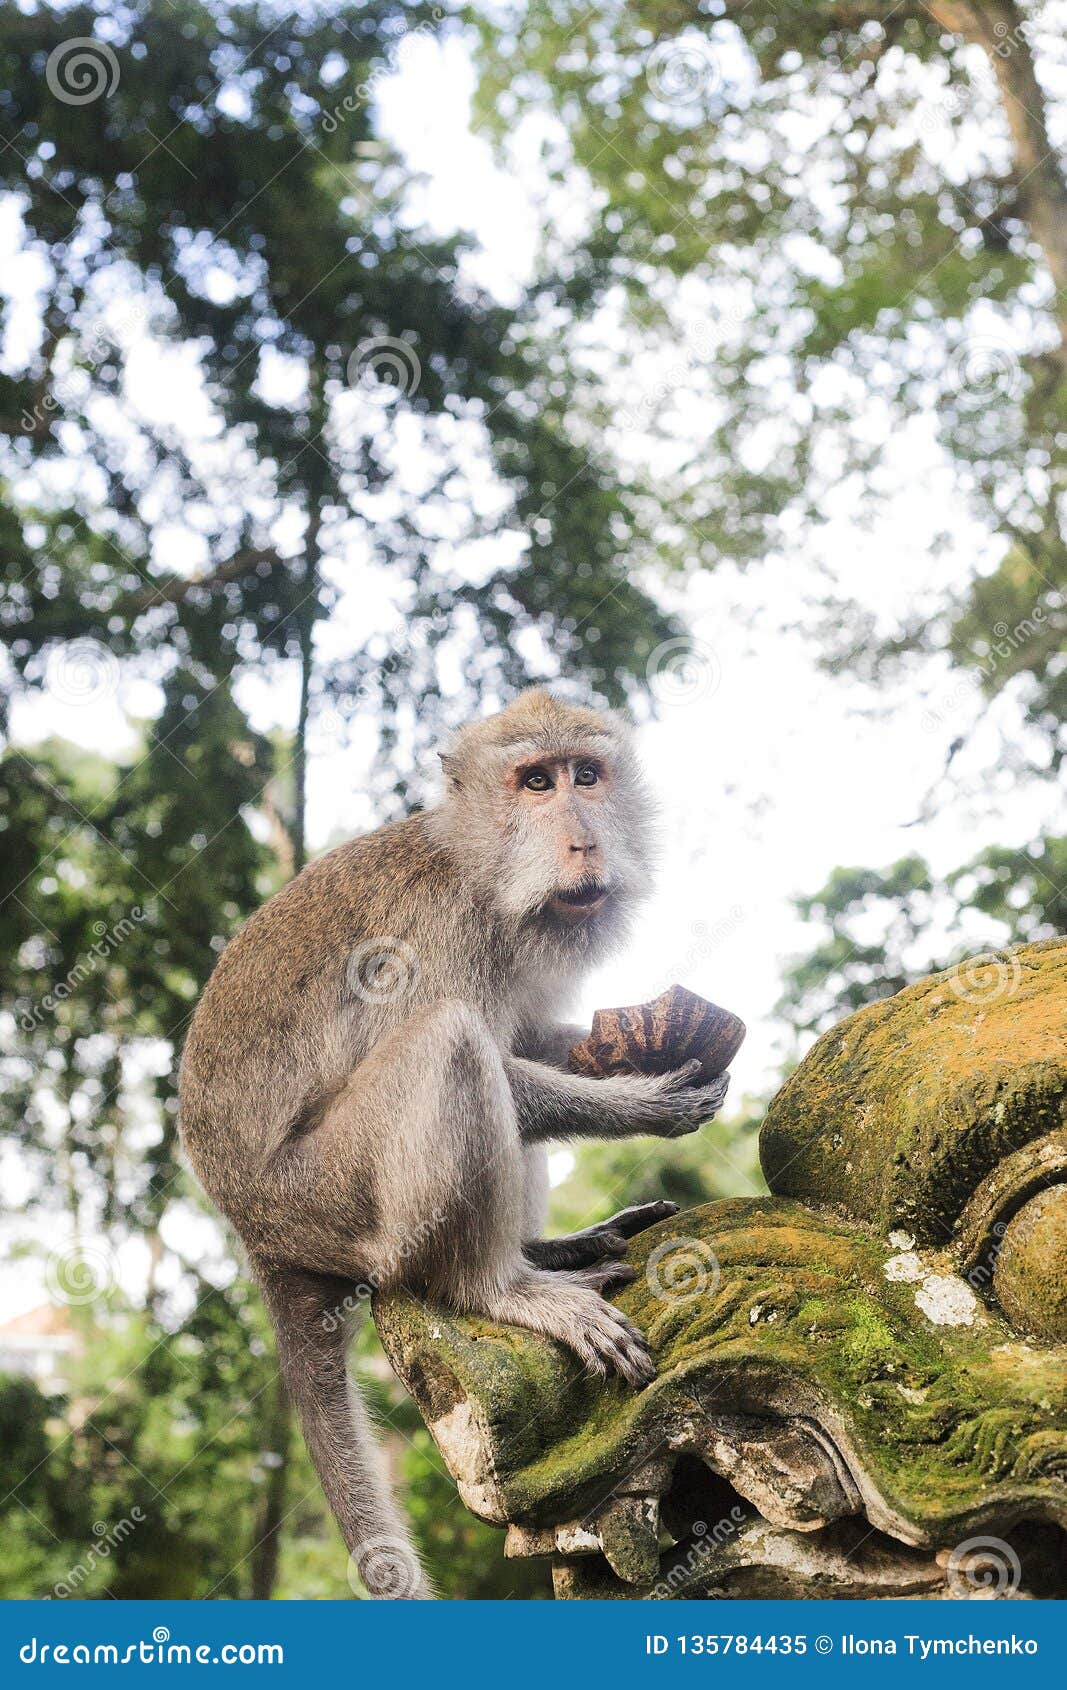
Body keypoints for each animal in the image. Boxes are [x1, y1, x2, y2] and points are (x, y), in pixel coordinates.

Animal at [178, 689, 729, 1598]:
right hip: (330, 1196)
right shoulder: (436, 933)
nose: (581, 839)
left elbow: (533, 1036)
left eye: (586, 775)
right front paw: (639, 1103)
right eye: (535, 783)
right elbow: (487, 1050)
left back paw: (547, 1251)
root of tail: (257, 1233)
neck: (483, 870)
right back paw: (494, 1285)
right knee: (450, 1040)